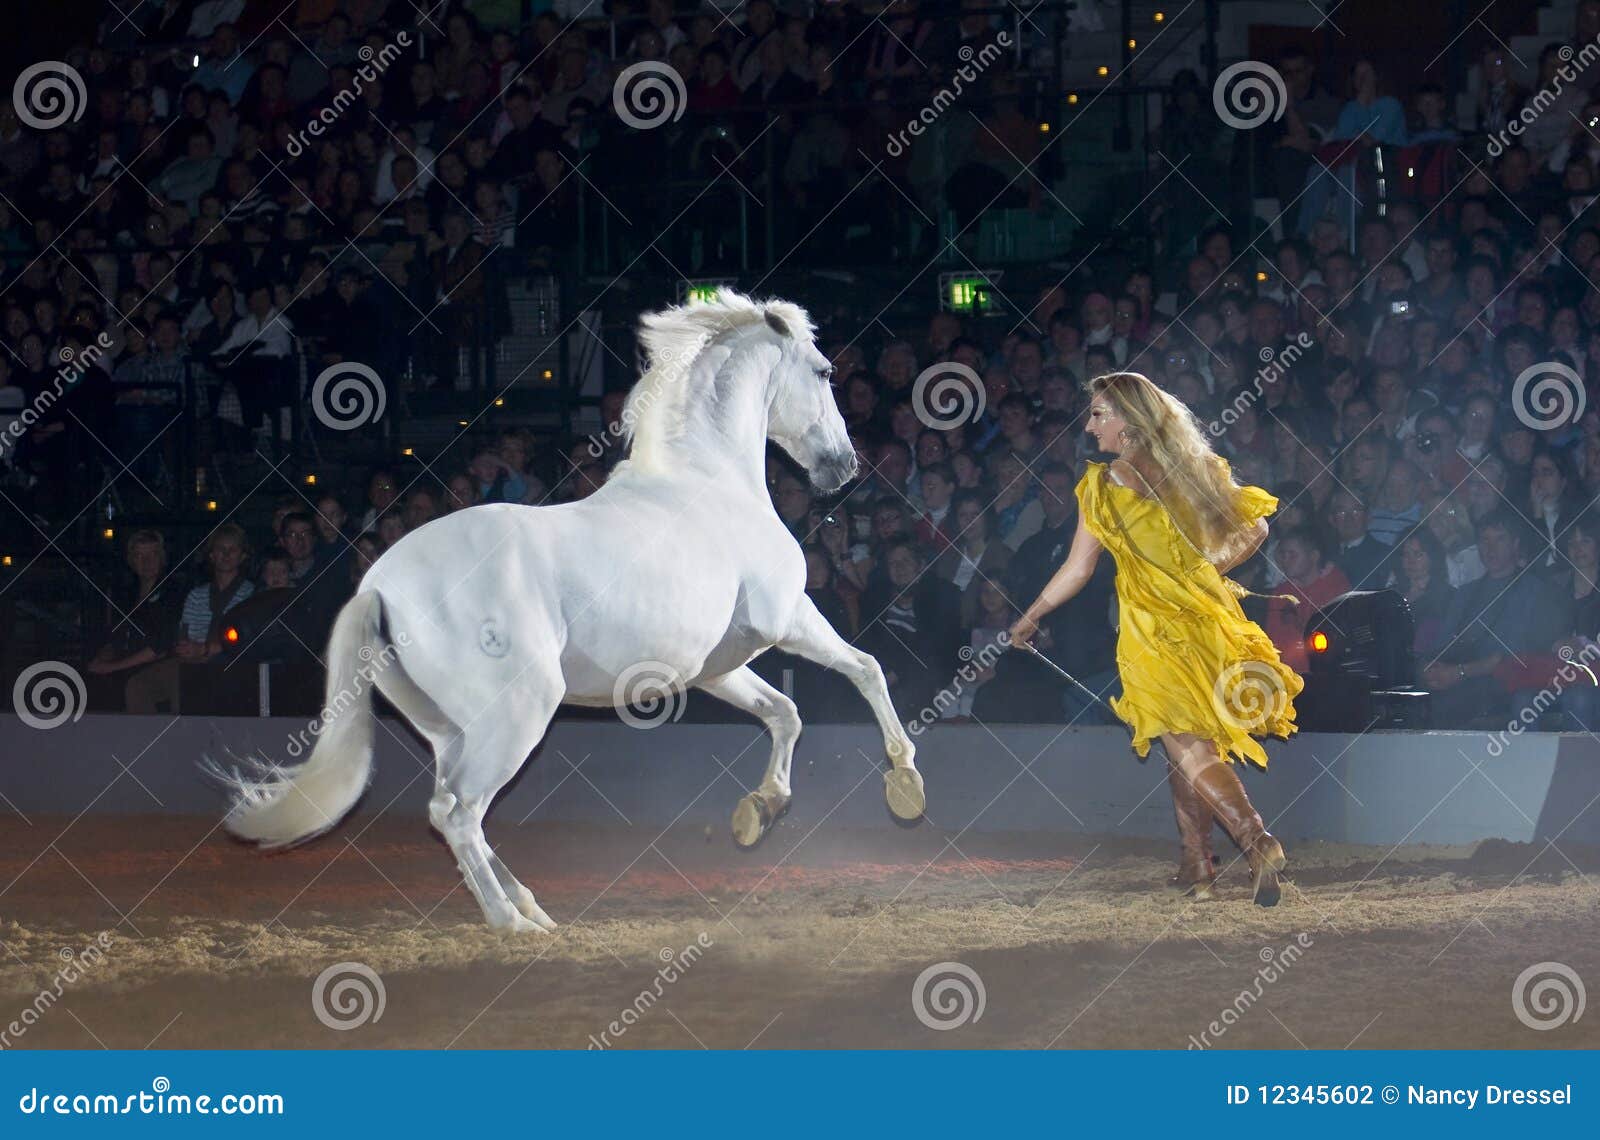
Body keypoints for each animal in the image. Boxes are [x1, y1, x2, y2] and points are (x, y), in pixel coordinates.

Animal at [216, 291, 927, 932]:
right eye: (824, 372)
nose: (843, 467)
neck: (709, 480)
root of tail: (379, 588)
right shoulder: (787, 618)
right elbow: (865, 668)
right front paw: (905, 784)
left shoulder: (714, 667)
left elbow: (784, 712)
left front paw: (762, 811)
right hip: (518, 712)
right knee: (457, 812)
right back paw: (514, 921)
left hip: (453, 729)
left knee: (457, 809)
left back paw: (529, 905)